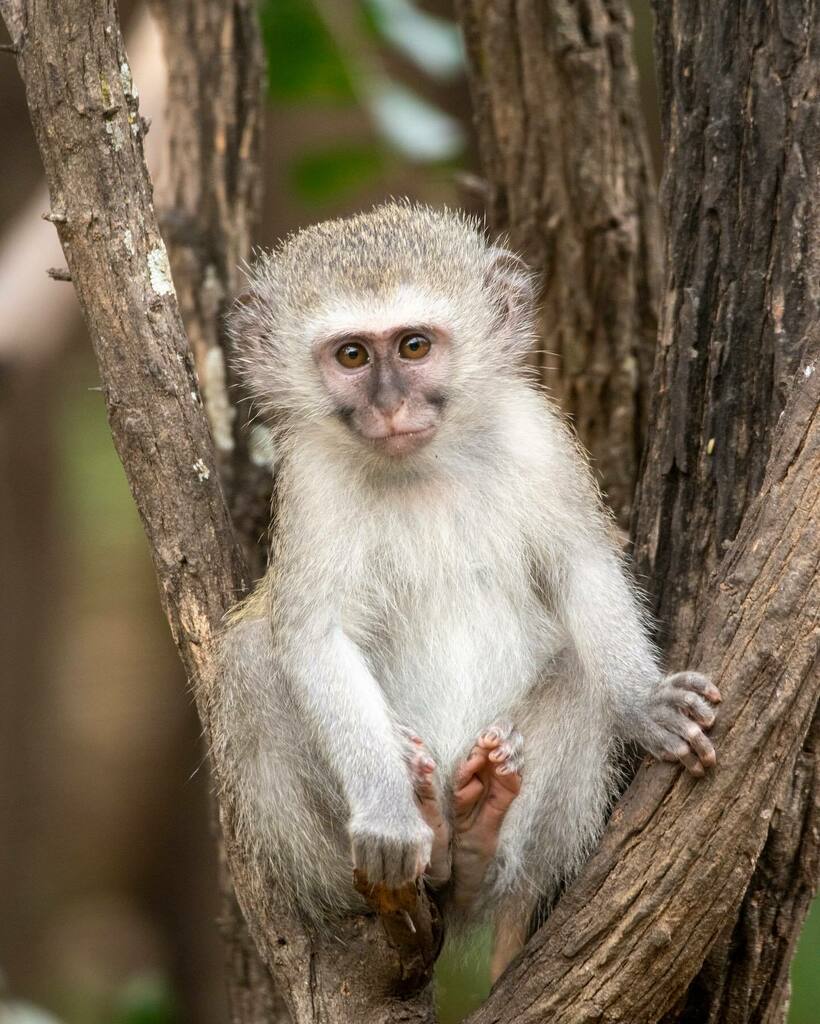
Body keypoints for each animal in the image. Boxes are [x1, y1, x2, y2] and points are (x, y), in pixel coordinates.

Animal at [212, 201, 720, 977]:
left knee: (578, 672)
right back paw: (424, 839)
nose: (391, 407)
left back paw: (477, 852)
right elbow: (313, 636)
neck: (423, 466)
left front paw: (644, 703)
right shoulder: (313, 483)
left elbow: (581, 567)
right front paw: (391, 815)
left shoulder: (538, 438)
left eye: (414, 346)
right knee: (250, 662)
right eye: (352, 356)